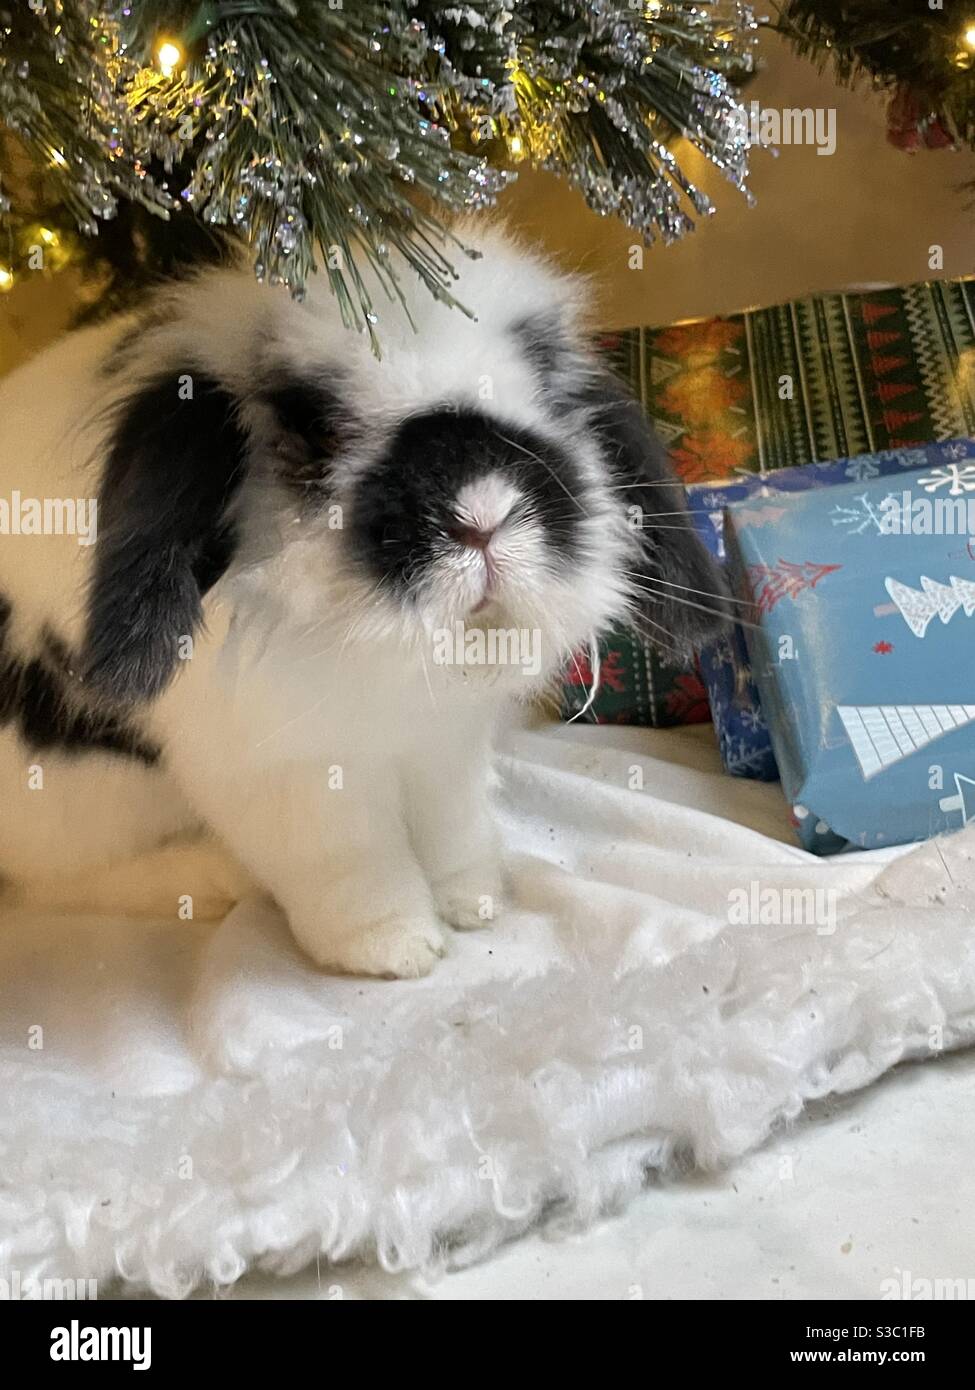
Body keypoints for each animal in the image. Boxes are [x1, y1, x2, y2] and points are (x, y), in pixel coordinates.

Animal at [0, 224, 730, 977]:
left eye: (547, 392)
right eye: (323, 431)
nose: (482, 515)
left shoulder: (444, 747)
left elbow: (453, 828)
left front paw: (475, 903)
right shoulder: (288, 771)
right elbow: (350, 864)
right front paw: (397, 950)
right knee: (50, 883)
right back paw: (209, 879)